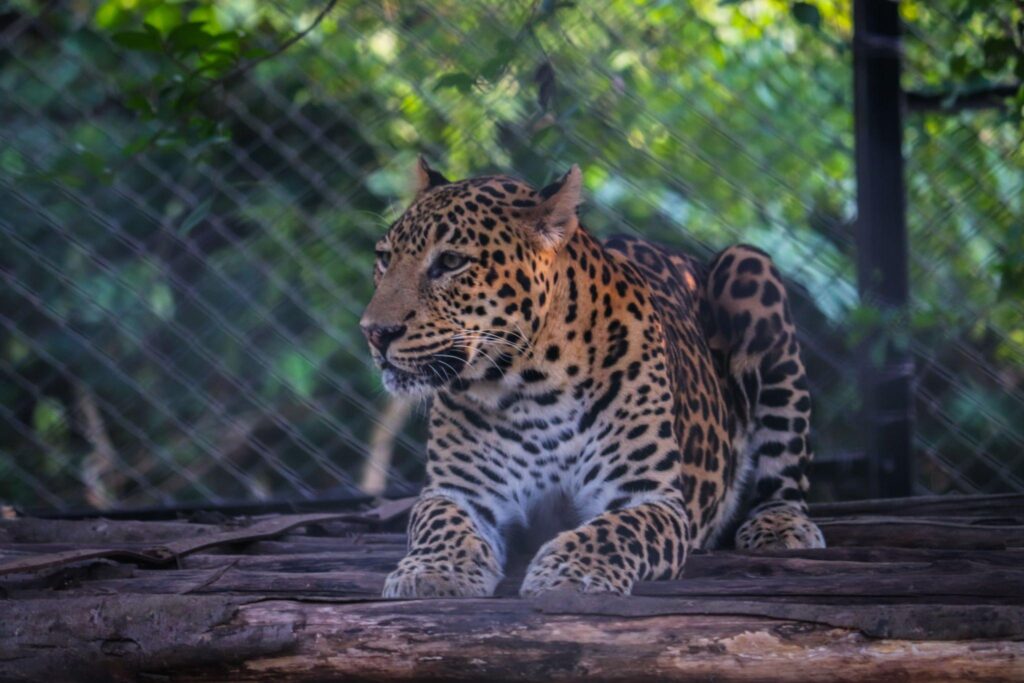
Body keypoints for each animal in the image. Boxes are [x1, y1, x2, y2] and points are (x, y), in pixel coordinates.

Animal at [361, 158, 825, 598]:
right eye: (384, 258)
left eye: (451, 262)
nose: (374, 332)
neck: (529, 385)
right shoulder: (461, 492)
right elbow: (440, 524)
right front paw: (431, 571)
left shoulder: (647, 496)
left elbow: (612, 533)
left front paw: (569, 573)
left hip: (749, 269)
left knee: (785, 466)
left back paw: (780, 526)